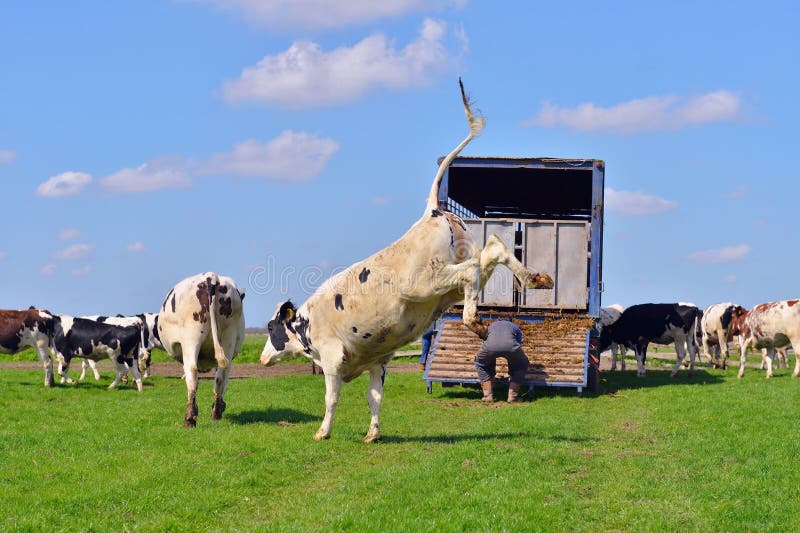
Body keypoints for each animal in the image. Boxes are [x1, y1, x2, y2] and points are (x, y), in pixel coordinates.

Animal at [157, 273, 245, 427]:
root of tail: (211, 277)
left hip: (191, 336)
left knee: (192, 373)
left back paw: (190, 418)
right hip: (229, 337)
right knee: (221, 376)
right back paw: (216, 413)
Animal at [260, 80, 554, 442]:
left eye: (271, 327)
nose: (262, 357)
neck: (309, 320)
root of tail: (430, 211)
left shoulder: (331, 358)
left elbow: (331, 398)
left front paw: (323, 432)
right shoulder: (376, 361)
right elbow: (374, 397)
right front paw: (372, 434)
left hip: (426, 283)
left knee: (472, 272)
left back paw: (476, 322)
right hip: (450, 281)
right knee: (493, 250)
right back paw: (536, 279)